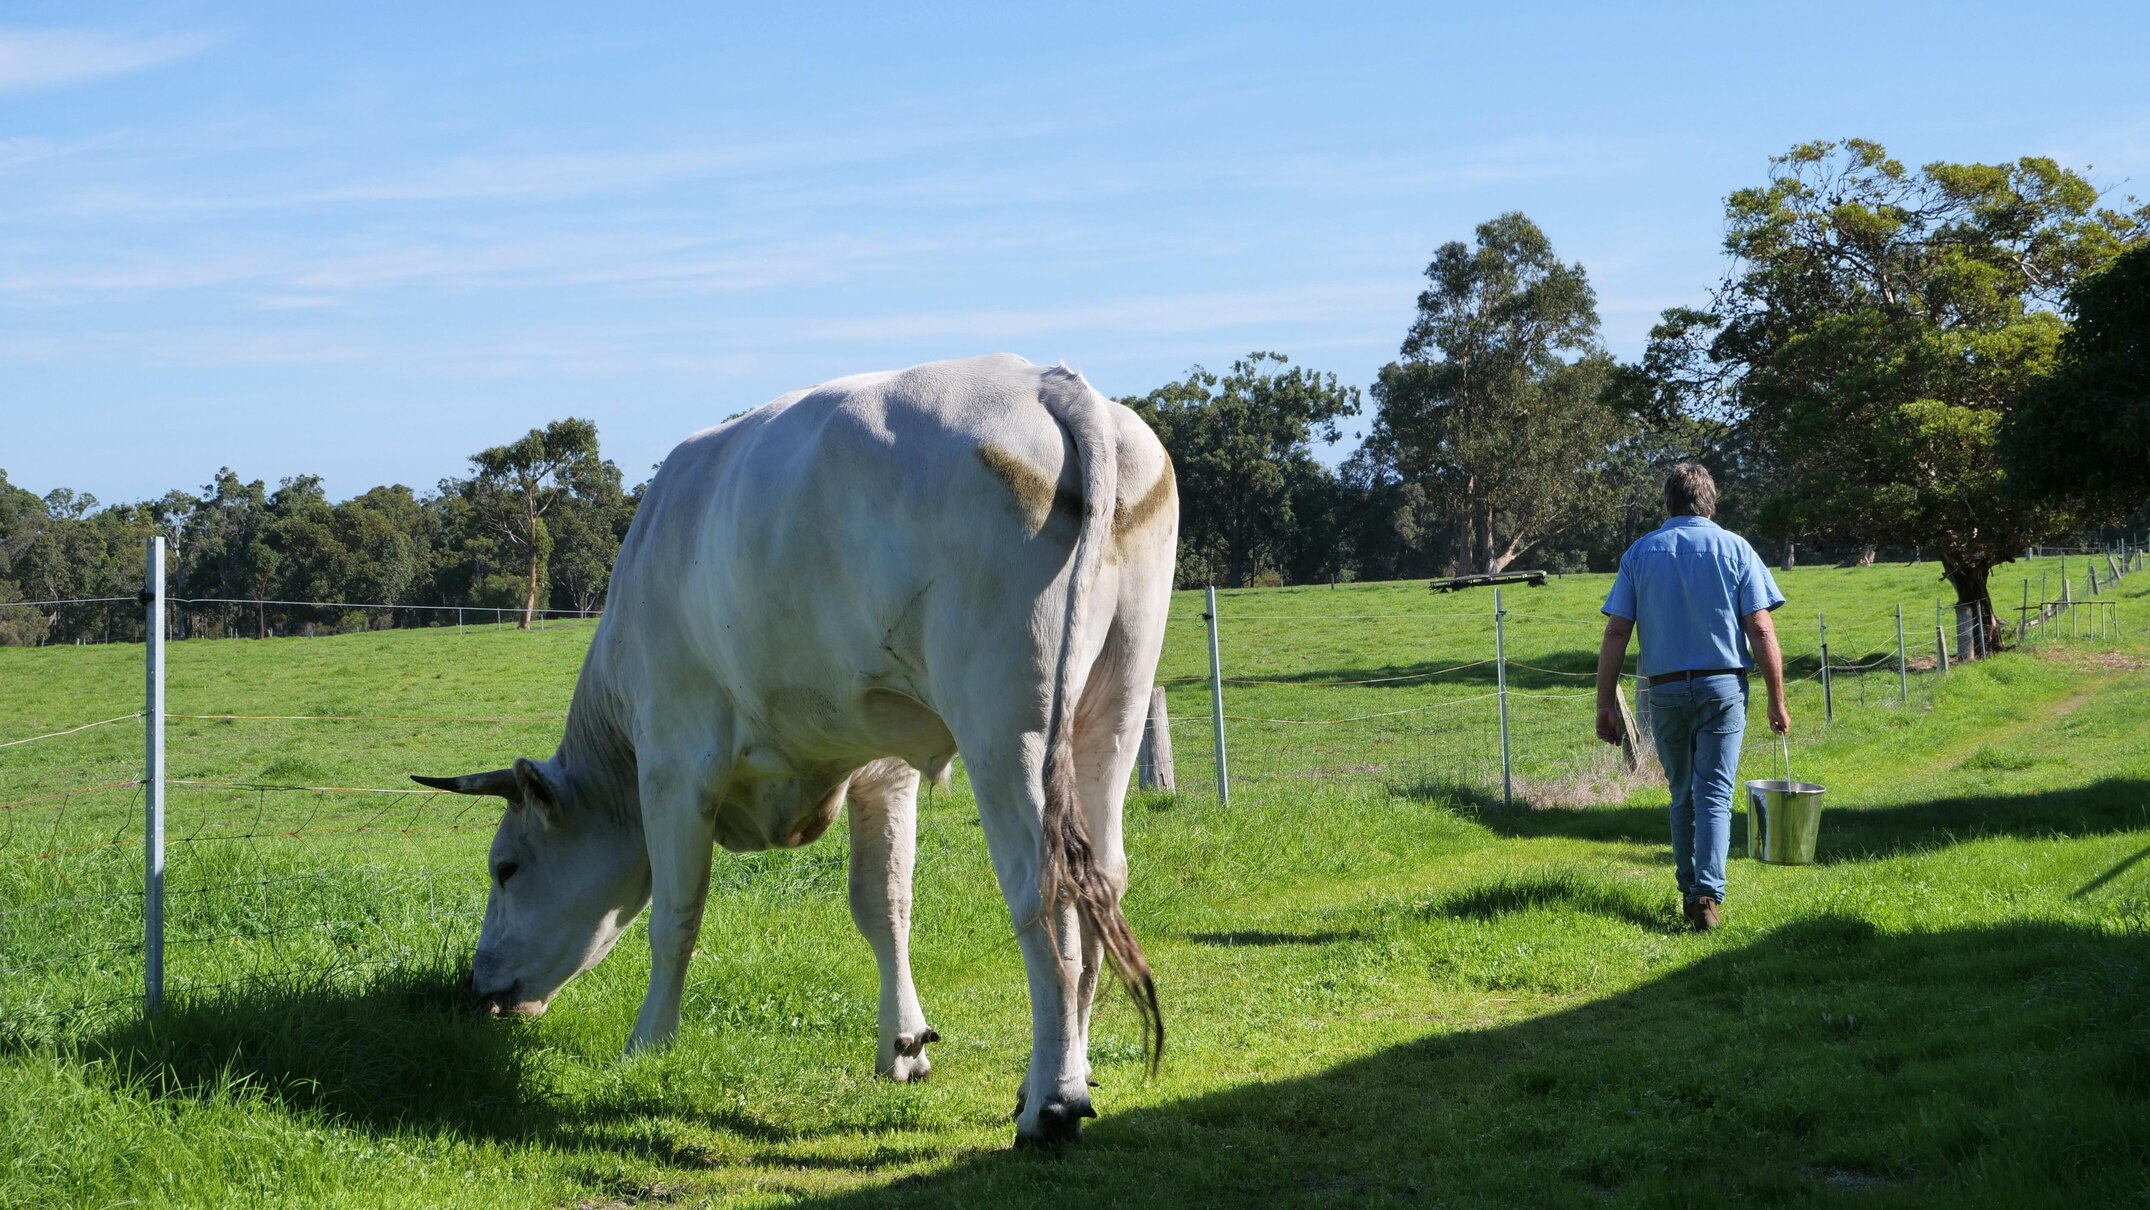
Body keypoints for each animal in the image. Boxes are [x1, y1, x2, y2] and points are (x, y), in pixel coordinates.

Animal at [413, 353, 1176, 1145]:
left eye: (506, 868)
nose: (478, 983)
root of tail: (1048, 381)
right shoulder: (882, 764)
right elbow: (884, 902)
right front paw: (903, 1045)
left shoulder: (674, 762)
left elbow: (674, 915)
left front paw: (647, 1043)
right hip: (1111, 708)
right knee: (1102, 882)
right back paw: (1061, 1072)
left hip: (1007, 725)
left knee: (1045, 891)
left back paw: (1051, 1103)